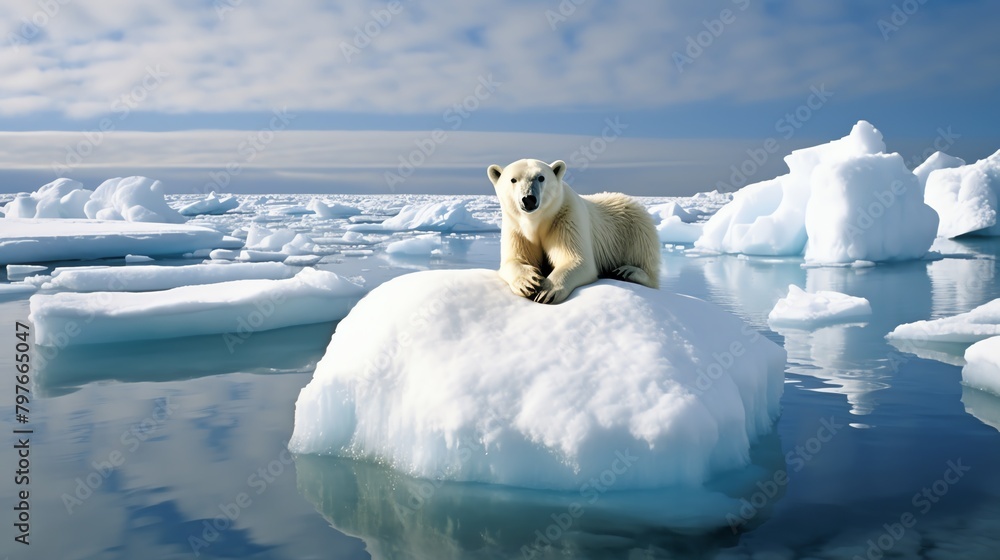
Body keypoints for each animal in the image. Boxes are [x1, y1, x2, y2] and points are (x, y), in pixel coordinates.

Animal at [487, 158, 661, 304]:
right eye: (513, 179)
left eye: (541, 177)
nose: (528, 199)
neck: (537, 222)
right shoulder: (516, 227)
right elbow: (512, 260)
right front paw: (528, 282)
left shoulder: (567, 218)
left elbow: (576, 260)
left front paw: (546, 292)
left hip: (634, 228)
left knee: (644, 257)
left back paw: (628, 272)